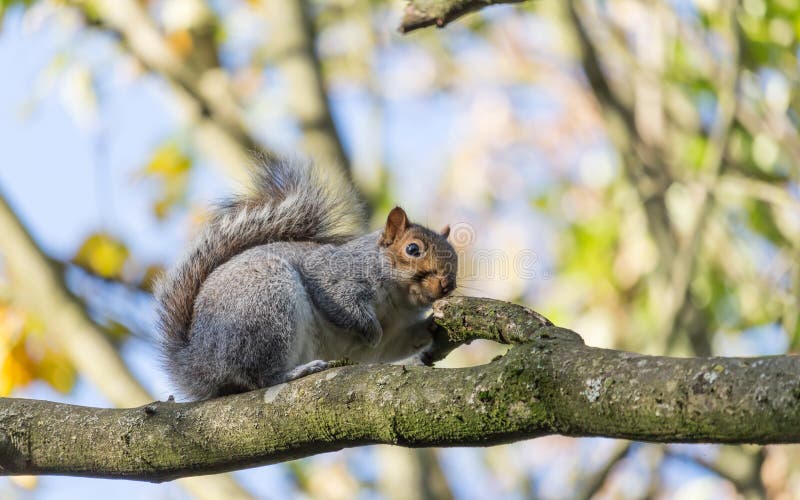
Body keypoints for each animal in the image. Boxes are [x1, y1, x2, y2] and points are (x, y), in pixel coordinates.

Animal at [156, 156, 458, 400]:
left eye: (455, 257)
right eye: (413, 249)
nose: (447, 284)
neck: (397, 303)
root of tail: (198, 363)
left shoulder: (395, 332)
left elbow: (394, 344)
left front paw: (432, 325)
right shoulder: (333, 274)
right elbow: (341, 304)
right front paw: (370, 329)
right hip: (265, 309)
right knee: (261, 376)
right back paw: (296, 372)